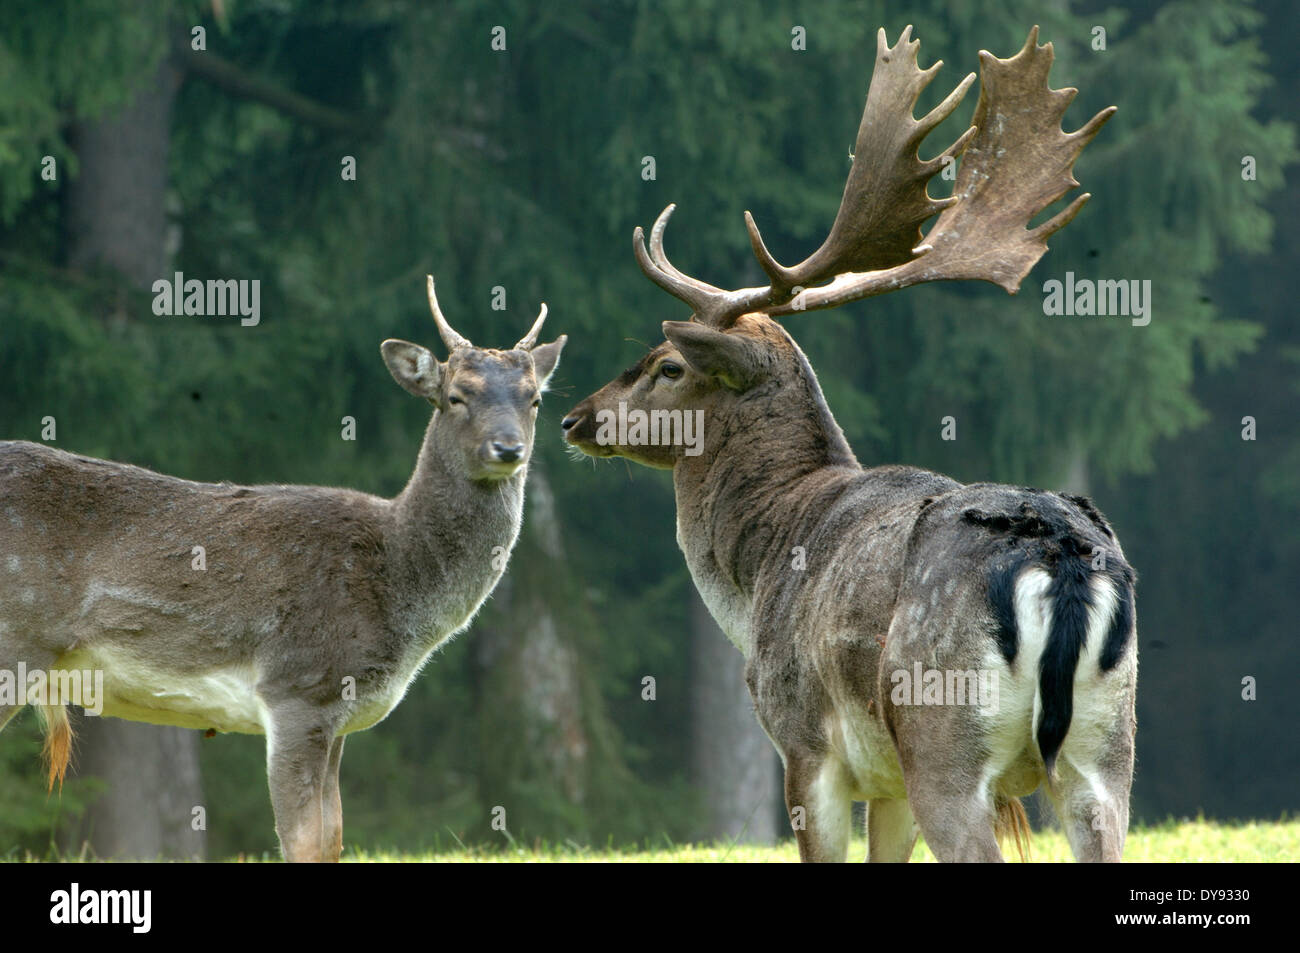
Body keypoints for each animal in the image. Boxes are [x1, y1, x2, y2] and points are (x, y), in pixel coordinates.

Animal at [0, 276, 565, 862]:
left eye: (535, 399)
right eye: (456, 396)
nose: (508, 448)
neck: (397, 581)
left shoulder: (340, 715)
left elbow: (333, 838)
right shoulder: (298, 688)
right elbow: (303, 842)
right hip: (16, 639)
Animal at [563, 26, 1136, 862]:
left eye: (667, 365)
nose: (576, 418)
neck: (758, 570)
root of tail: (1056, 561)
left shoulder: (806, 746)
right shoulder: (888, 784)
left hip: (943, 739)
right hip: (1105, 752)